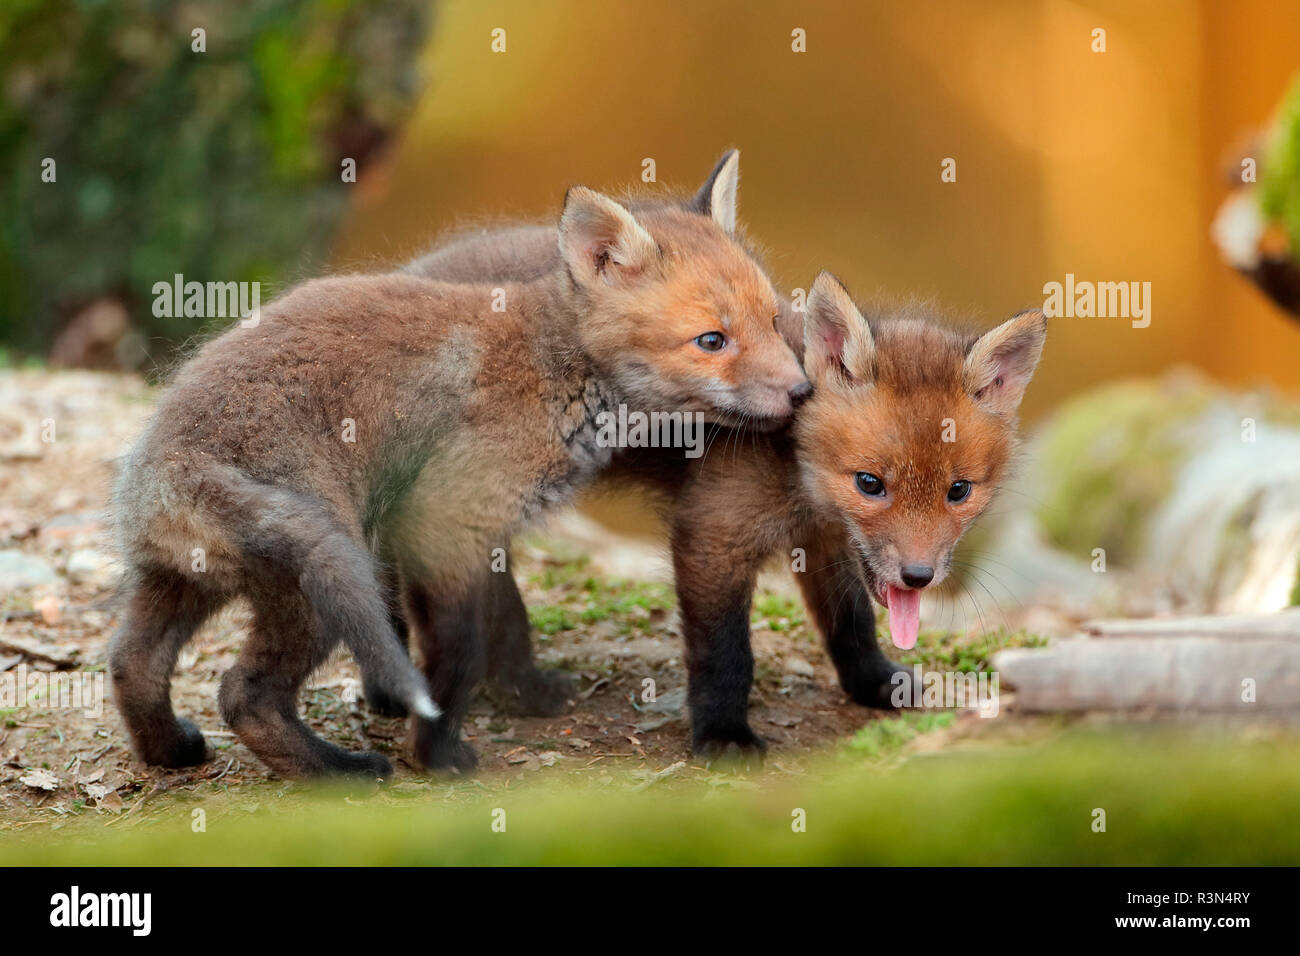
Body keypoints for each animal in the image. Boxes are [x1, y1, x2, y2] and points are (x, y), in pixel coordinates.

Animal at [107, 155, 809, 778]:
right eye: (712, 341)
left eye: (776, 321)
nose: (804, 392)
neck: (557, 367)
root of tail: (172, 460)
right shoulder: (442, 521)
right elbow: (462, 653)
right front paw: (438, 753)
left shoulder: (481, 527)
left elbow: (508, 623)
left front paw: (526, 694)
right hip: (322, 586)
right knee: (243, 695)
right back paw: (340, 773)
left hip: (187, 582)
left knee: (129, 662)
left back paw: (172, 752)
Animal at [375, 175, 1047, 764]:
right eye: (870, 484)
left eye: (958, 491)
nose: (918, 576)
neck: (799, 475)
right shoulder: (712, 539)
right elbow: (726, 655)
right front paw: (723, 734)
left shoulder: (826, 542)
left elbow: (851, 626)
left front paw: (875, 684)